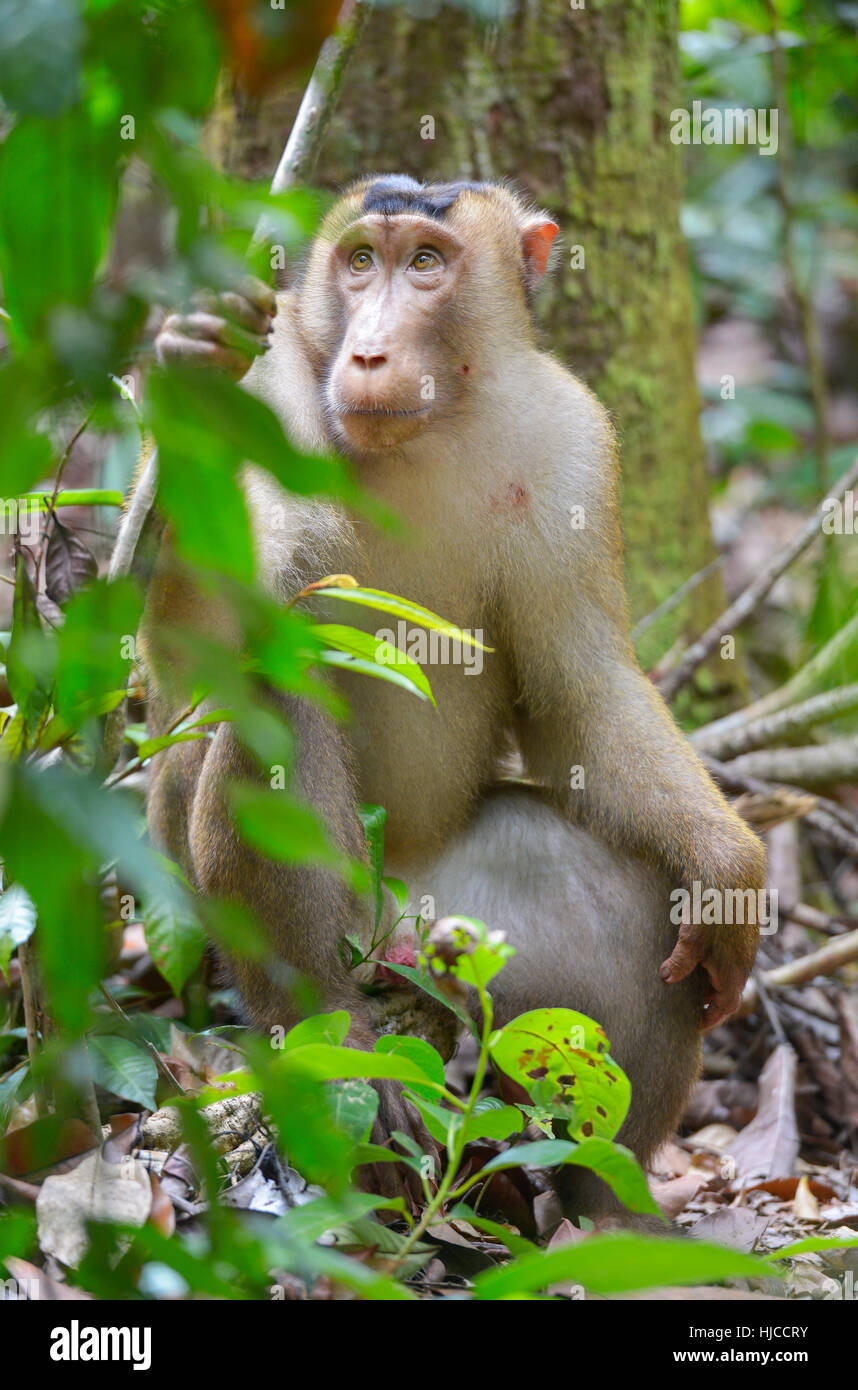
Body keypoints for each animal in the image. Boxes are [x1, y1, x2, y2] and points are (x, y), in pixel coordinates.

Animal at [142, 175, 766, 1220]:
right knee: (280, 686)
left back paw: (602, 1209)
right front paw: (187, 376)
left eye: (425, 263)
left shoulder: (571, 440)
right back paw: (330, 1020)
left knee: (629, 914)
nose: (367, 352)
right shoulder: (276, 396)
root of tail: (399, 936)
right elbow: (208, 654)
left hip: (459, 922)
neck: (424, 439)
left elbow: (579, 693)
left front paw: (726, 866)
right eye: (361, 262)